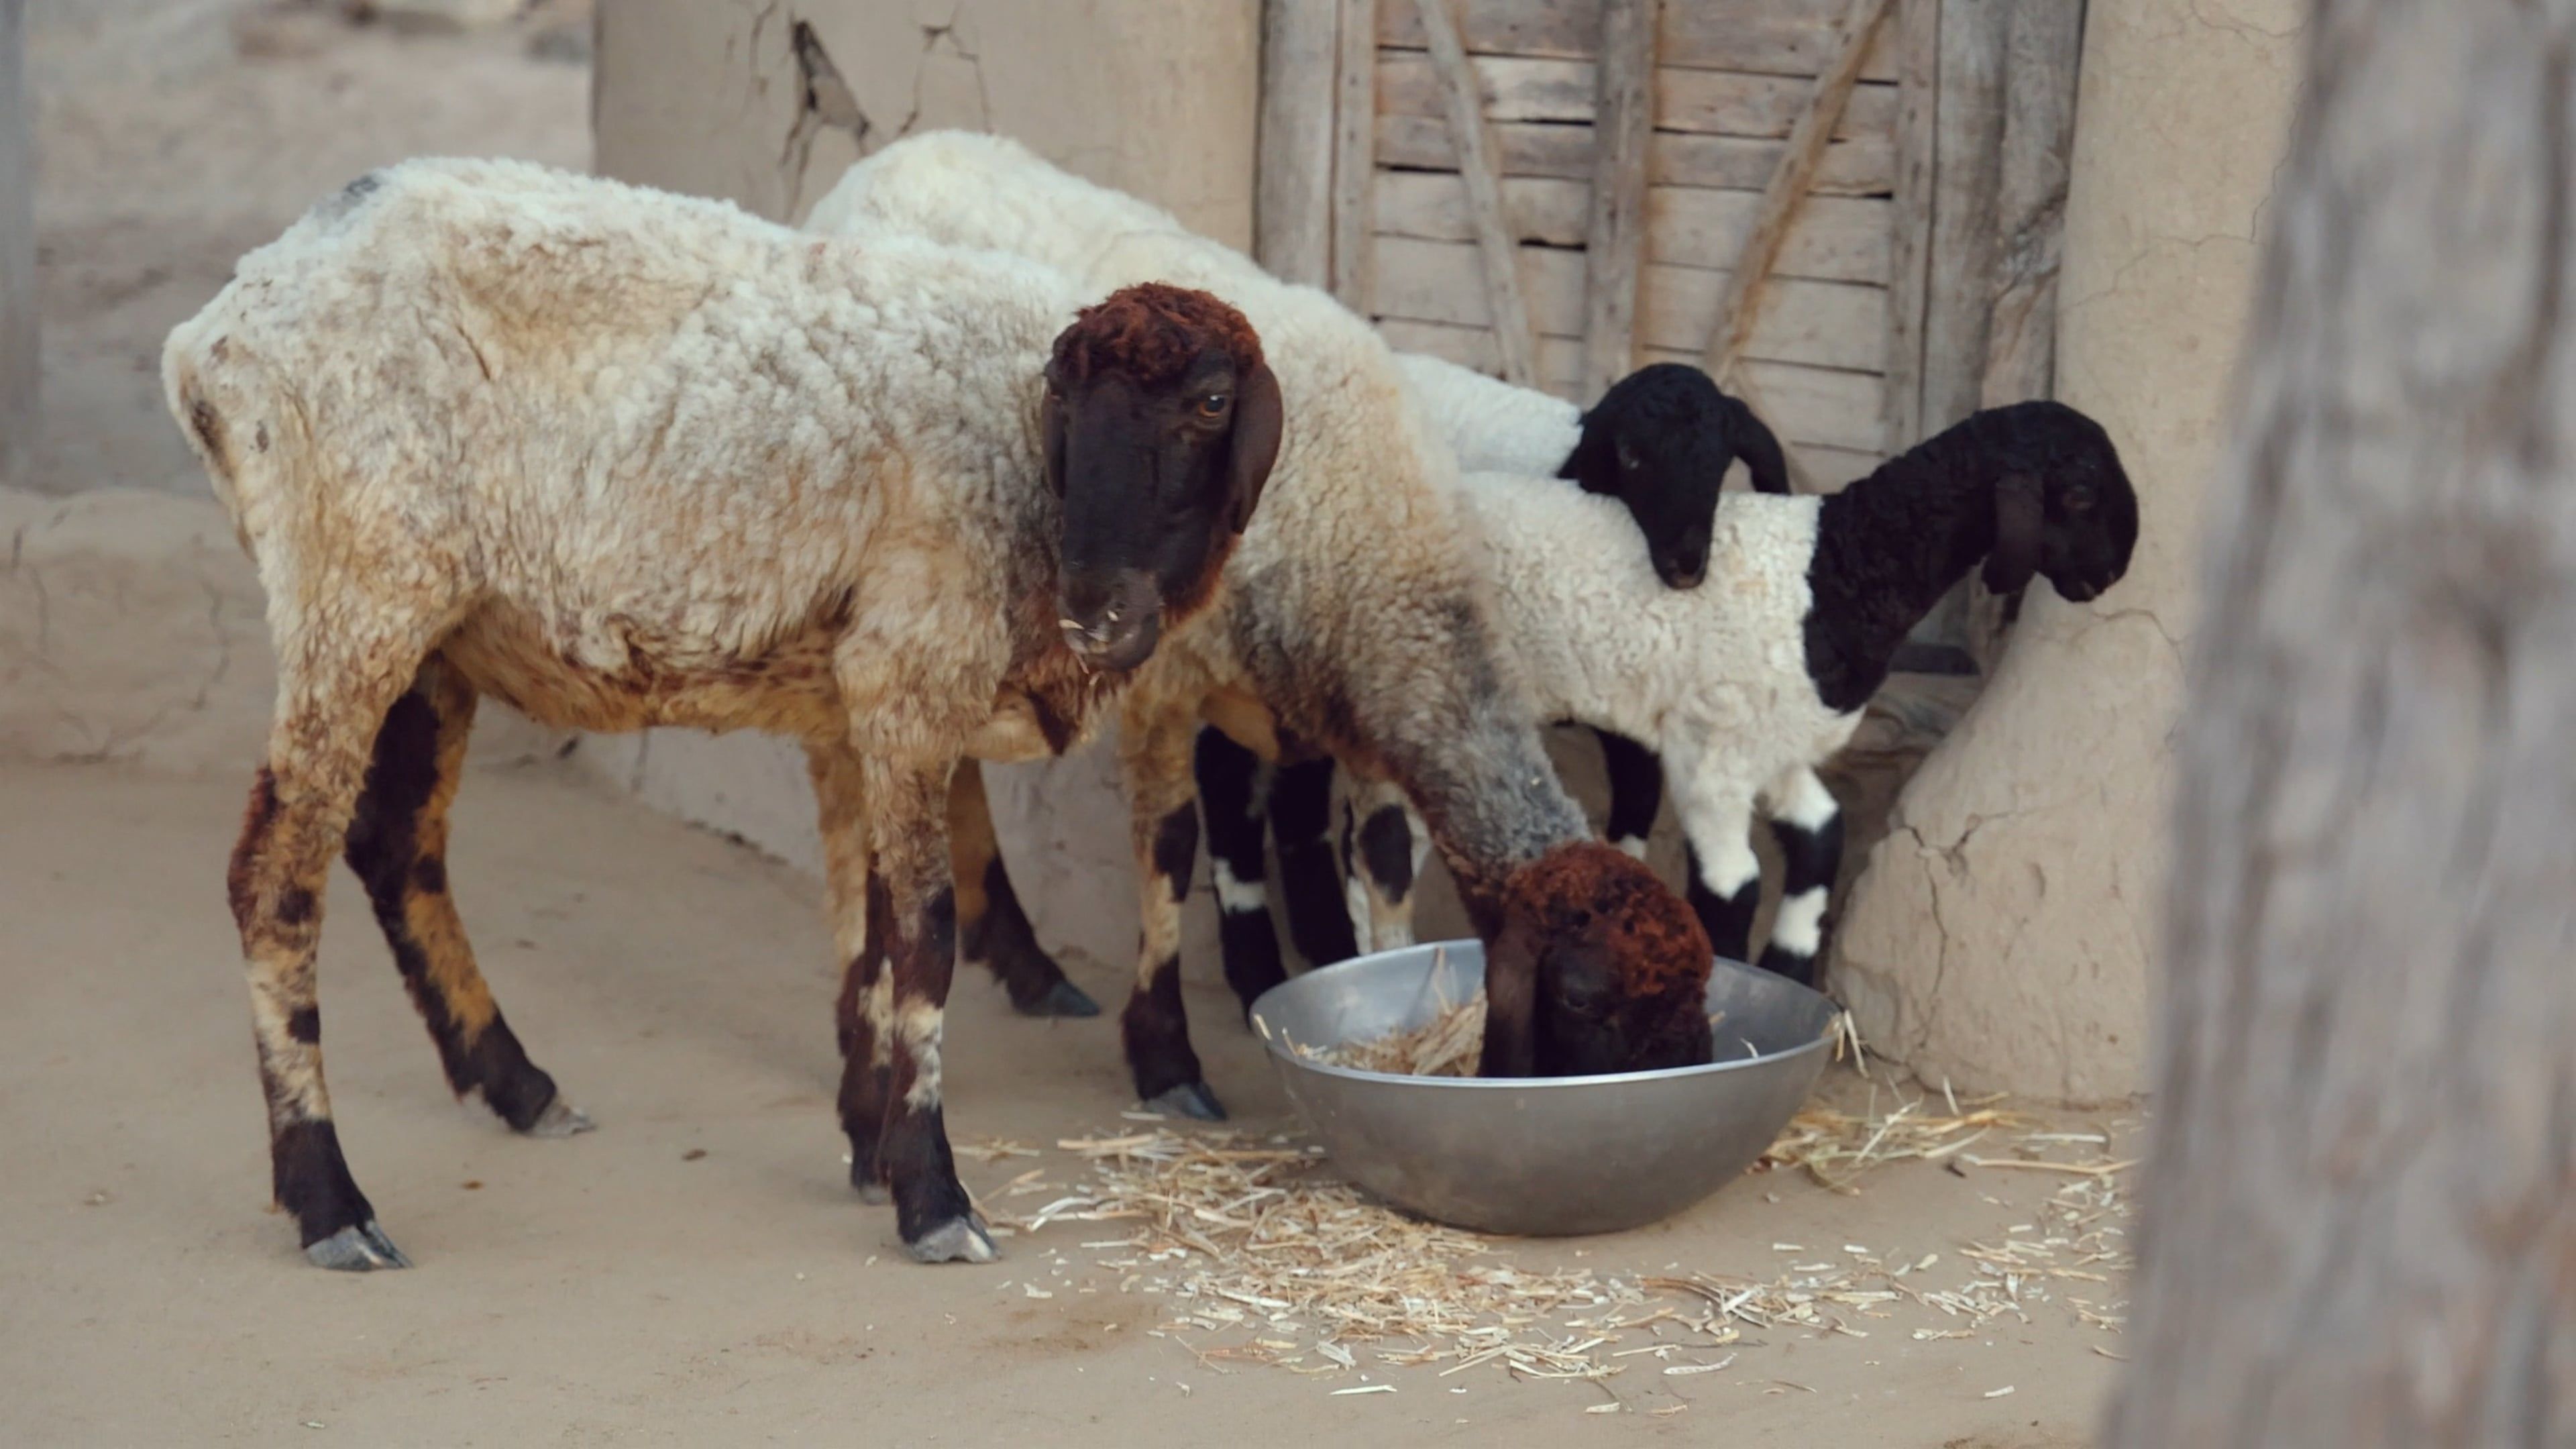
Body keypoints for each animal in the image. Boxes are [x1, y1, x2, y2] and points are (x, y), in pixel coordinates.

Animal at [162, 156, 1281, 1270]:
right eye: (1065, 404)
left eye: (1211, 402)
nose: (1100, 605)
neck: (1027, 486)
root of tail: (219, 326)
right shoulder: (910, 672)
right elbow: (923, 938)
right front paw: (932, 1196)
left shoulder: (861, 696)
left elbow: (869, 928)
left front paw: (869, 1144)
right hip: (352, 590)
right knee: (274, 878)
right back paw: (330, 1200)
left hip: (440, 632)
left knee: (397, 844)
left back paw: (518, 1087)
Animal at [811, 130, 1721, 1104]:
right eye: (1585, 1000)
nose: (1685, 1085)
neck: (1375, 529)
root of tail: (902, 153)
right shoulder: (1165, 682)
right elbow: (1172, 848)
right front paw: (1167, 1058)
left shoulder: (1363, 691)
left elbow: (1385, 861)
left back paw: (1028, 968)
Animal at [1323, 400, 2140, 991]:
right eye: (2079, 492)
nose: (2114, 570)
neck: (1838, 571)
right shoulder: (1708, 753)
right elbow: (1732, 886)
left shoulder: (1776, 751)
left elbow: (1823, 838)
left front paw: (1789, 966)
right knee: (1380, 845)